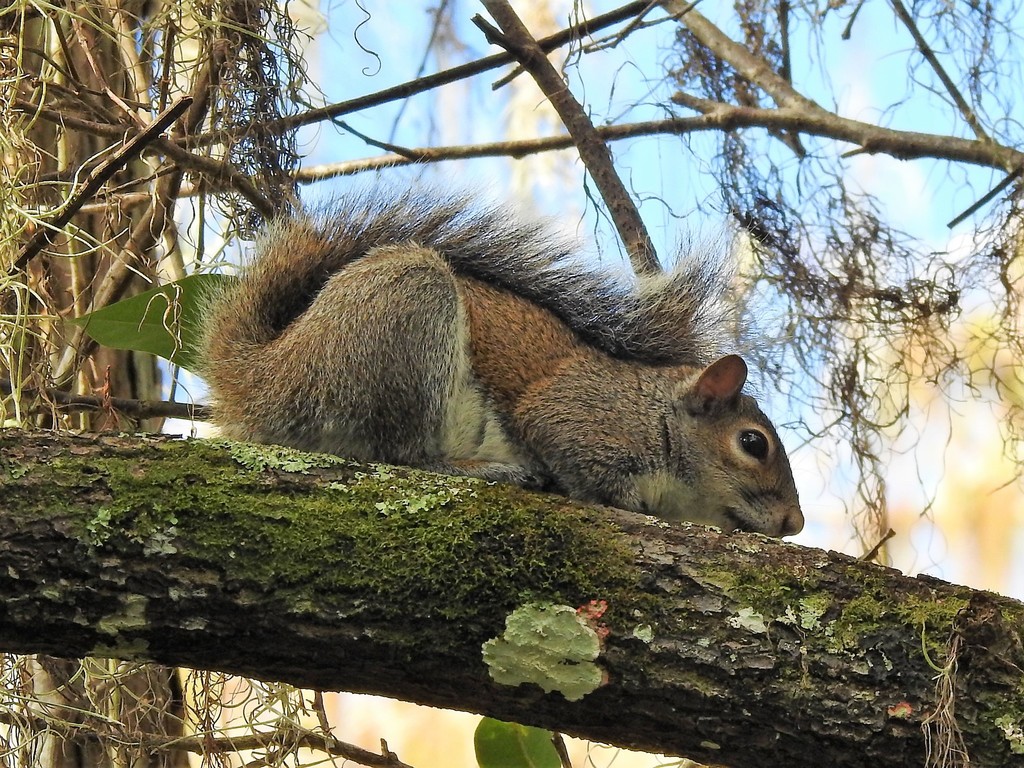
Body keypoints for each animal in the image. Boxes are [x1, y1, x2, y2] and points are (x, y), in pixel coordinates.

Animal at [202, 189, 804, 537]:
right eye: (753, 443)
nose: (794, 523)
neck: (651, 414)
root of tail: (257, 379)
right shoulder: (577, 416)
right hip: (404, 318)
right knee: (405, 457)